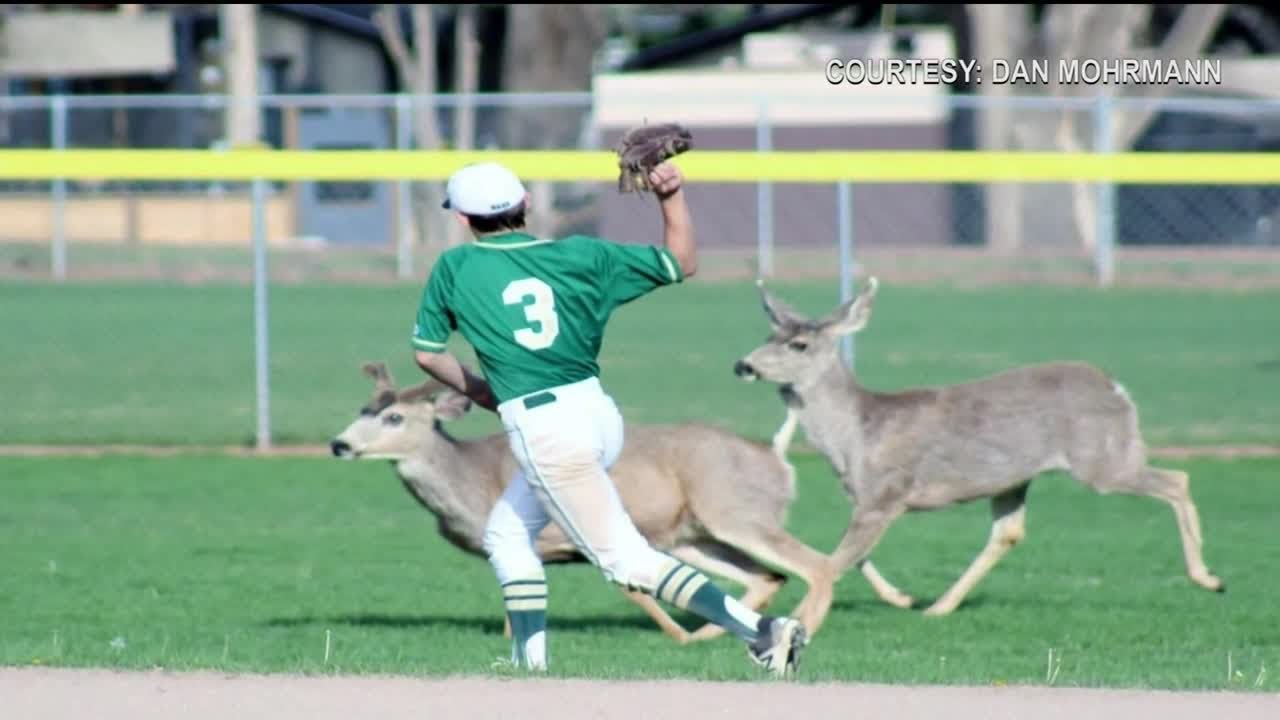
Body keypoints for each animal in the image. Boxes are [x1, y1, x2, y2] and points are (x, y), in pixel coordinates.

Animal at [329, 362, 837, 645]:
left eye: (395, 417)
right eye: (361, 411)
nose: (338, 444)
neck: (471, 481)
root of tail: (775, 458)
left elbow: (628, 589)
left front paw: (674, 635)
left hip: (737, 512)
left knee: (817, 565)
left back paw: (795, 631)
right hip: (691, 537)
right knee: (767, 576)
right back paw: (721, 633)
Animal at [731, 276, 1225, 618]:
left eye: (799, 343)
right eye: (767, 336)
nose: (743, 365)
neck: (857, 434)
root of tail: (1119, 390)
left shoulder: (889, 491)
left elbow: (837, 558)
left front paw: (799, 616)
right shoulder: (866, 498)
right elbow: (849, 554)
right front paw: (902, 597)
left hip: (1101, 459)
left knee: (1177, 479)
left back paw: (1208, 578)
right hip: (1015, 478)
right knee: (1008, 532)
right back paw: (939, 606)